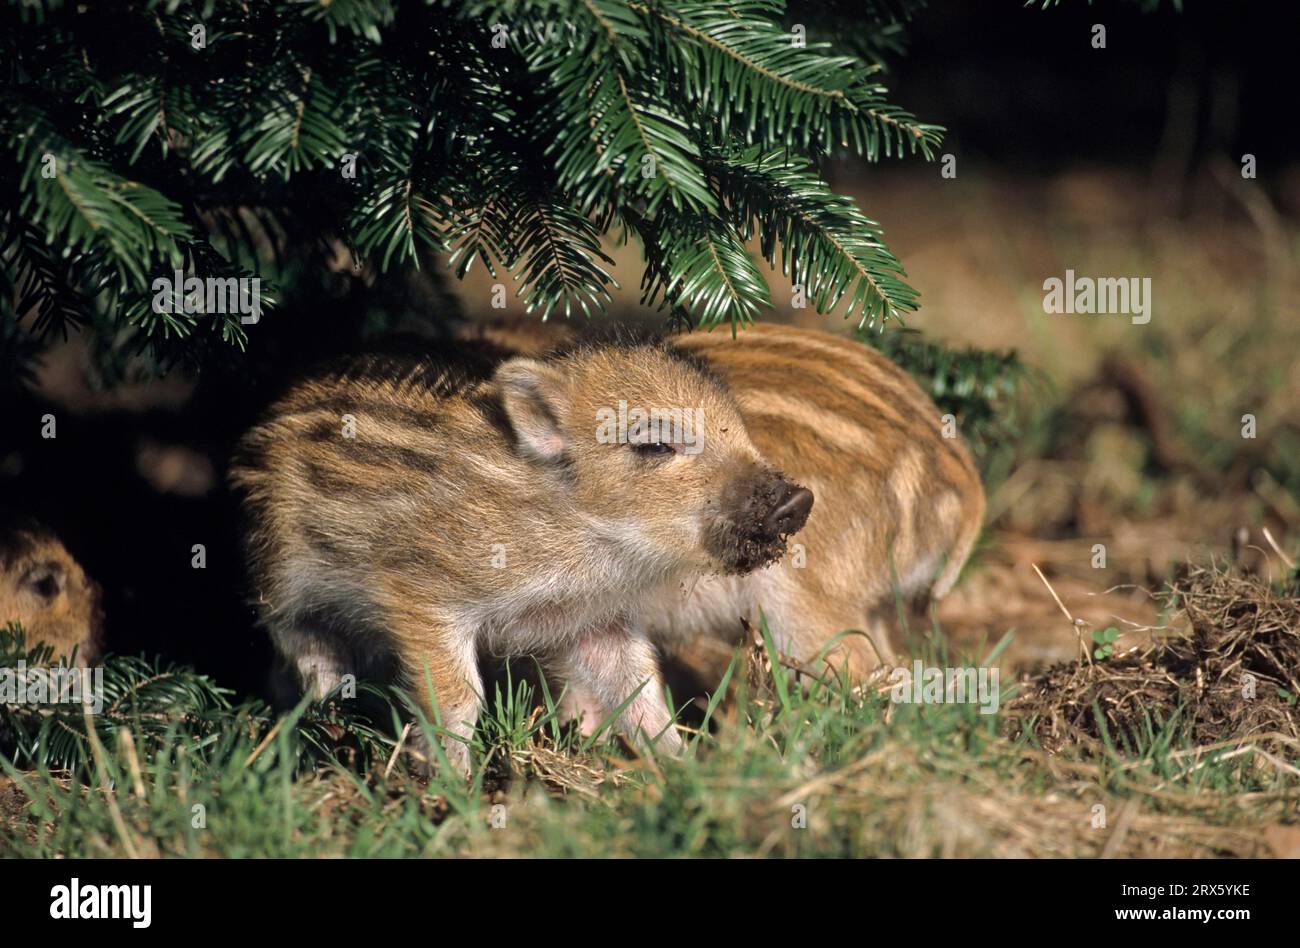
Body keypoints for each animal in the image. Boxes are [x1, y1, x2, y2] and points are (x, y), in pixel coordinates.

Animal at [229, 340, 812, 774]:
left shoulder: (597, 621)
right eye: (654, 445)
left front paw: (682, 769)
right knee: (292, 633)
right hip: (280, 566)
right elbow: (459, 698)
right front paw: (453, 787)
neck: (590, 540)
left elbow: (642, 694)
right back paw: (329, 703)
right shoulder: (421, 593)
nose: (797, 501)